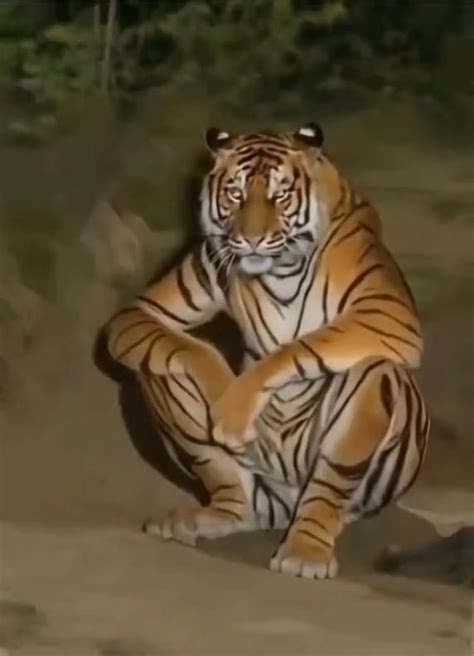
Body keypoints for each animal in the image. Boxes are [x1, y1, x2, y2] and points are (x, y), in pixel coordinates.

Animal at [105, 122, 430, 580]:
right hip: (210, 437)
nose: (253, 239)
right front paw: (223, 398)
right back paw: (200, 520)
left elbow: (301, 346)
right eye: (236, 194)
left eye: (280, 195)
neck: (280, 271)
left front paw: (234, 403)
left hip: (359, 431)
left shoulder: (387, 313)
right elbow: (194, 349)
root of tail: (283, 505)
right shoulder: (150, 308)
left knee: (330, 480)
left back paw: (306, 551)